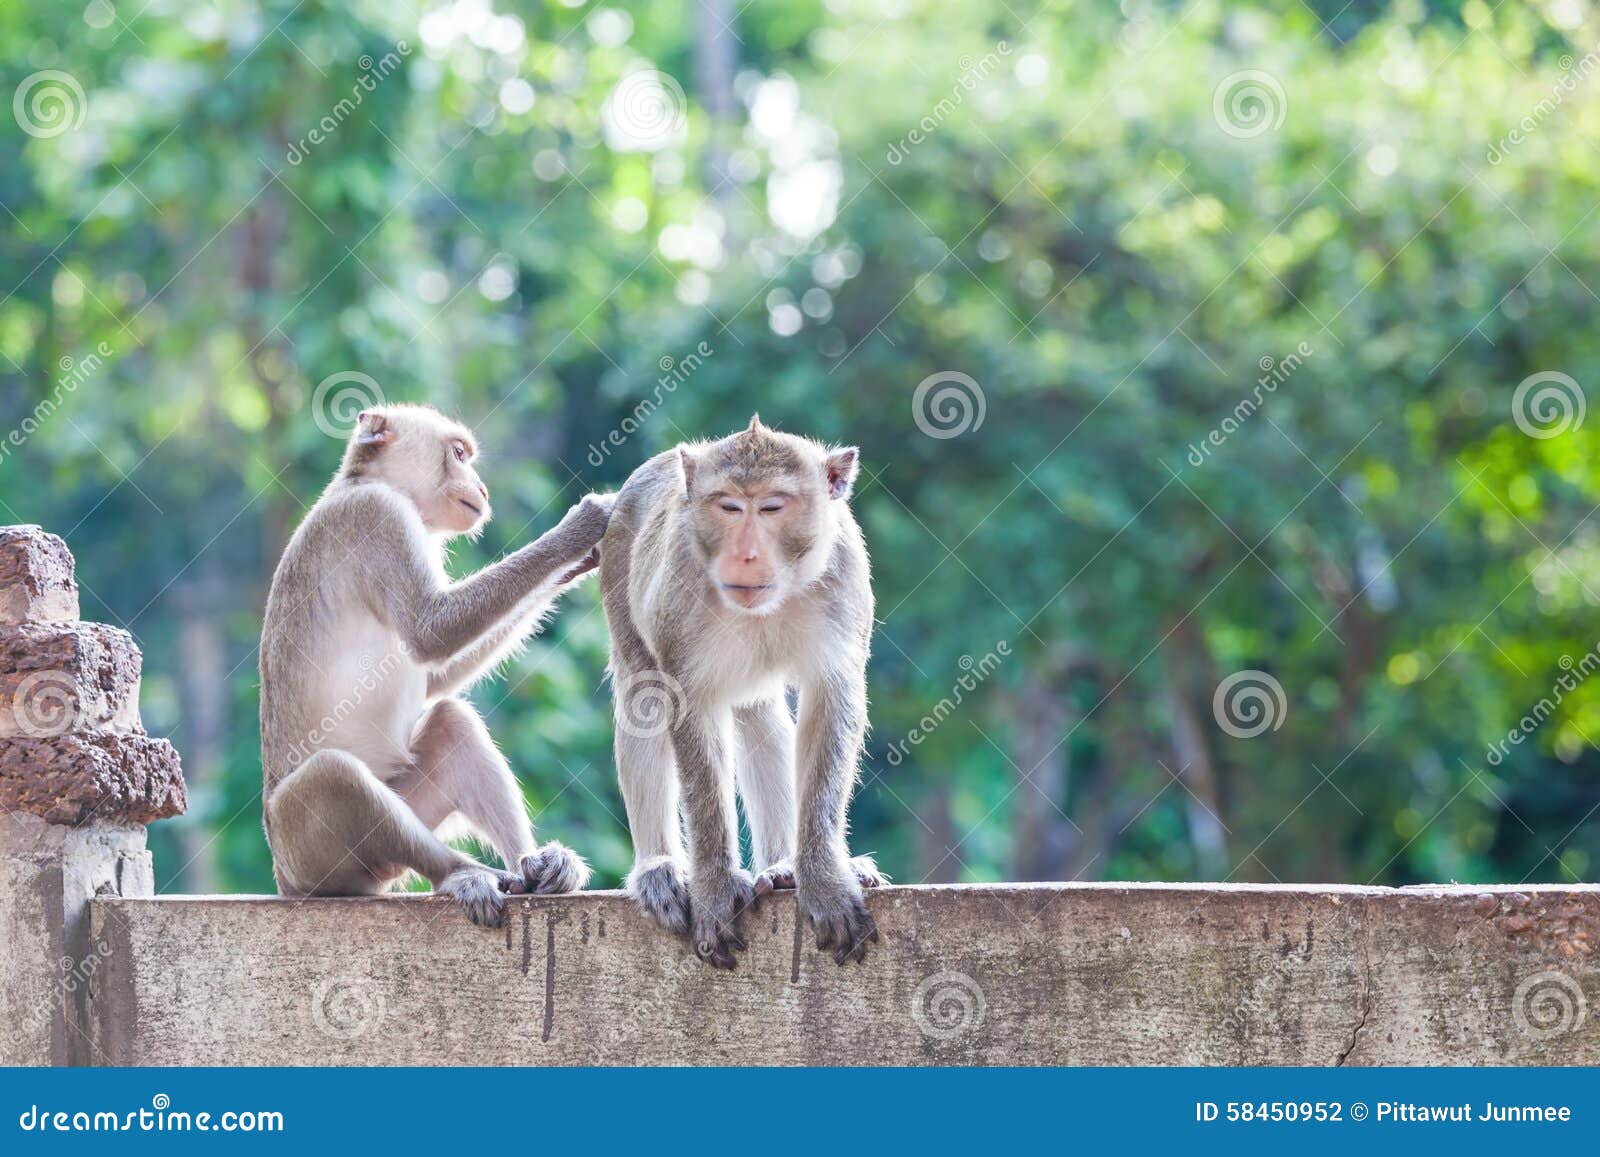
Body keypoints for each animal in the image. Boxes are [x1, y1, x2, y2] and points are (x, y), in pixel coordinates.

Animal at [259, 403, 613, 928]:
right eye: (459, 454)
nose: (481, 488)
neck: (370, 483)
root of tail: (284, 880)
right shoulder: (378, 518)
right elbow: (432, 631)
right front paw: (580, 528)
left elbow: (434, 680)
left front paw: (579, 561)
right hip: (306, 850)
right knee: (334, 774)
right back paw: (460, 874)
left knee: (452, 722)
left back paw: (533, 867)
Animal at [599, 415, 885, 968]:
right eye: (728, 507)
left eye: (773, 506)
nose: (745, 554)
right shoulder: (679, 607)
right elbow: (689, 718)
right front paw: (713, 888)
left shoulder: (843, 581)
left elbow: (830, 704)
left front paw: (822, 877)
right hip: (618, 575)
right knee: (644, 700)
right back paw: (658, 870)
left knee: (760, 716)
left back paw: (782, 866)